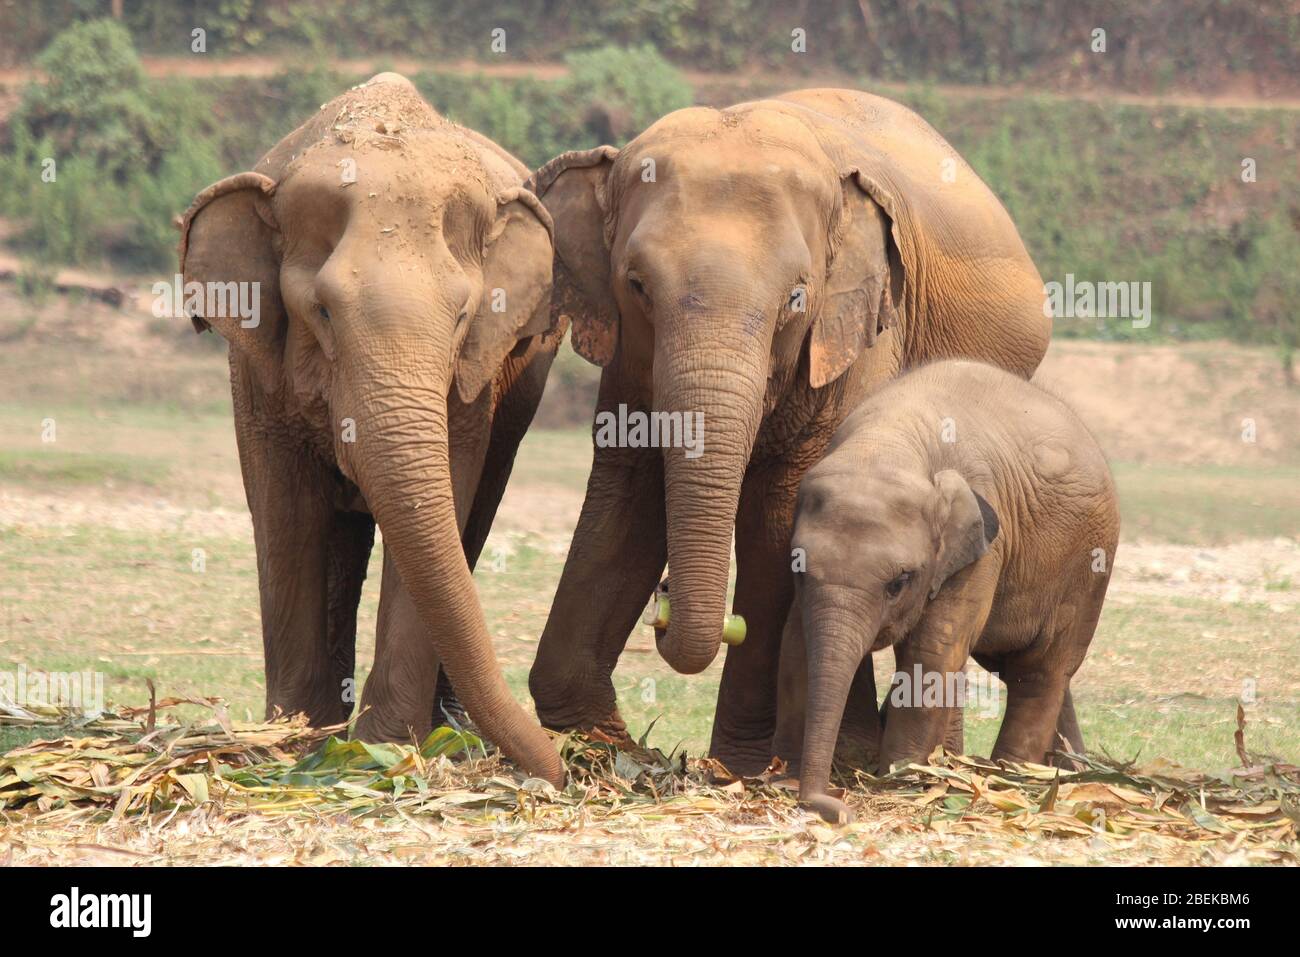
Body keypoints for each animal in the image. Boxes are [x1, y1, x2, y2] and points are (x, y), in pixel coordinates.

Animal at [177, 73, 565, 786]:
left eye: (463, 314)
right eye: (323, 311)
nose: (556, 772)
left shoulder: (469, 383)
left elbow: (450, 486)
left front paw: (386, 746)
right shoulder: (257, 371)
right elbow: (285, 507)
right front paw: (293, 741)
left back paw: (439, 729)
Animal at [525, 88, 1052, 774]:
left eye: (796, 300)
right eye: (635, 286)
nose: (664, 606)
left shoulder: (859, 335)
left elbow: (781, 514)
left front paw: (743, 764)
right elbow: (627, 492)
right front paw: (598, 746)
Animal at [783, 360, 1119, 823]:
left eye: (898, 583)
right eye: (797, 568)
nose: (834, 806)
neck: (887, 441)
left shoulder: (982, 547)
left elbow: (933, 652)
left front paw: (899, 779)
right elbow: (796, 643)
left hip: (1088, 563)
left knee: (1041, 670)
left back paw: (1011, 777)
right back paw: (1062, 772)